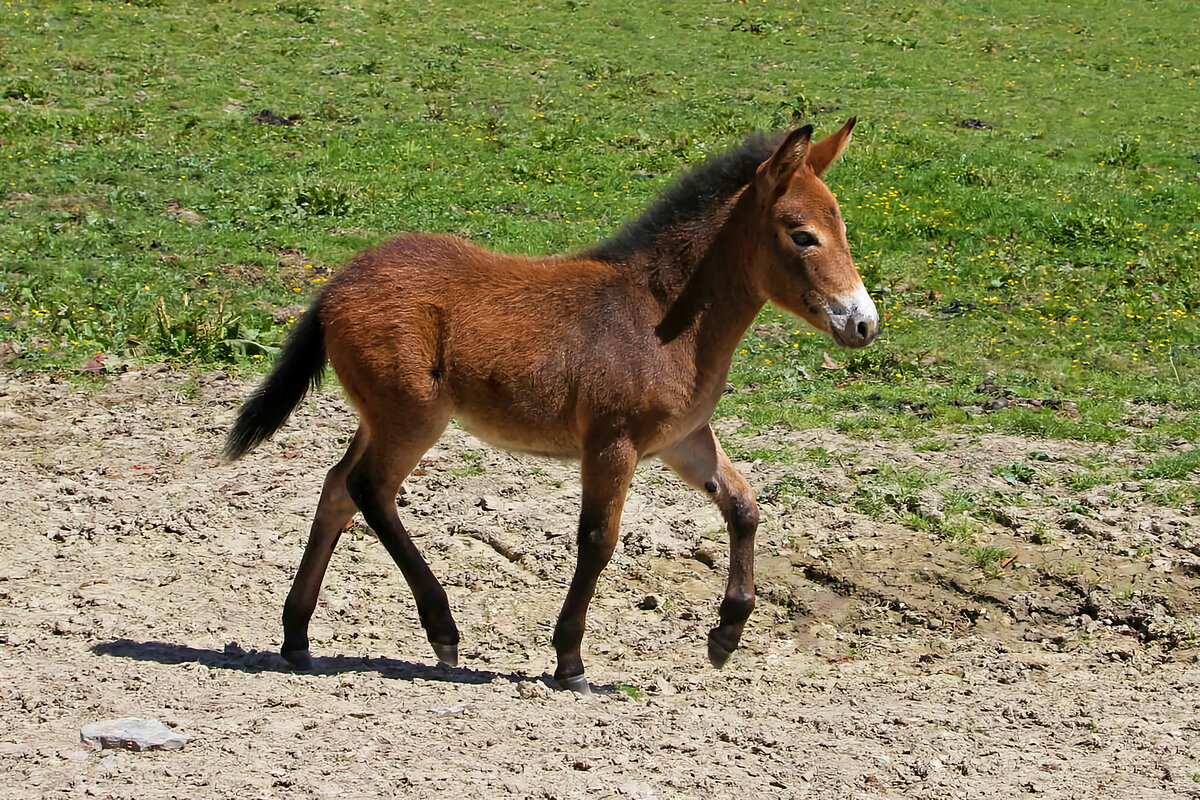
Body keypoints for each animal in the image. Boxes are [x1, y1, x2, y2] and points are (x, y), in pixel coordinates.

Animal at [225, 118, 878, 695]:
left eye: (844, 229)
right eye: (802, 235)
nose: (864, 324)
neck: (660, 316)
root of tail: (338, 284)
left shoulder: (681, 440)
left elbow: (744, 506)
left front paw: (726, 634)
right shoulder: (612, 442)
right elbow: (598, 540)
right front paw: (570, 662)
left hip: (379, 417)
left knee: (338, 488)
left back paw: (297, 639)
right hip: (412, 417)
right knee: (369, 489)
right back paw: (442, 632)